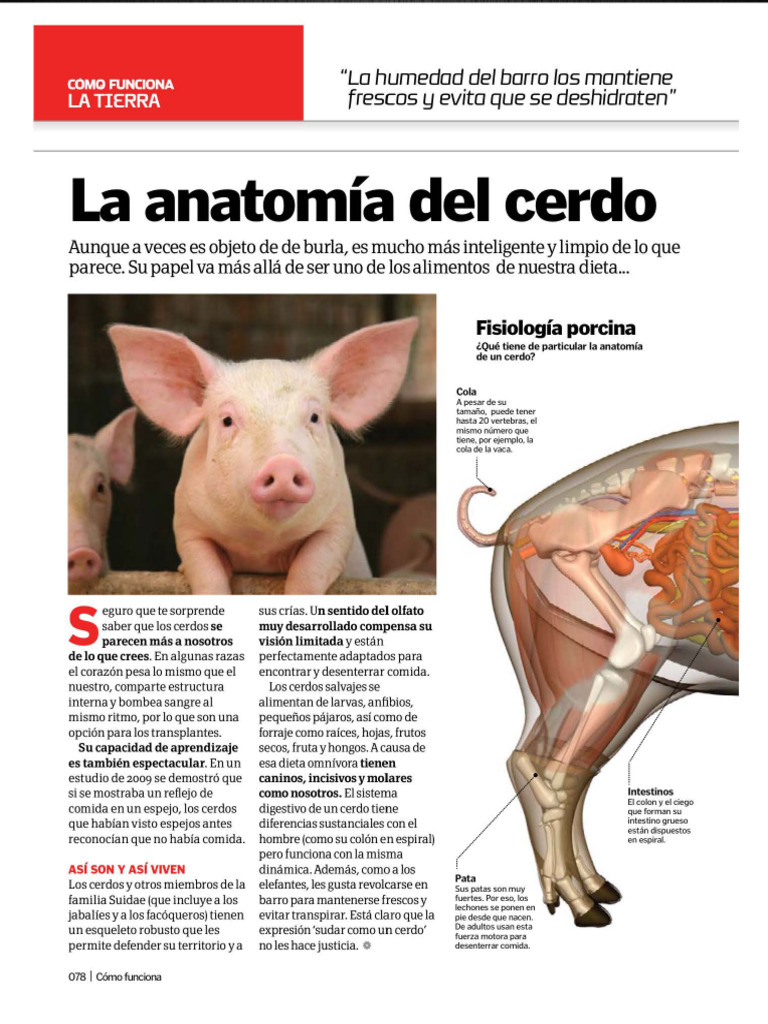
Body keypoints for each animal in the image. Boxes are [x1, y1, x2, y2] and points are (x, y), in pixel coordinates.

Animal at [108, 319, 418, 595]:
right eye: (227, 420)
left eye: (314, 417)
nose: (282, 463)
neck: (262, 546)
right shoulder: (188, 524)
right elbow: (206, 572)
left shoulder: (339, 523)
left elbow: (310, 569)